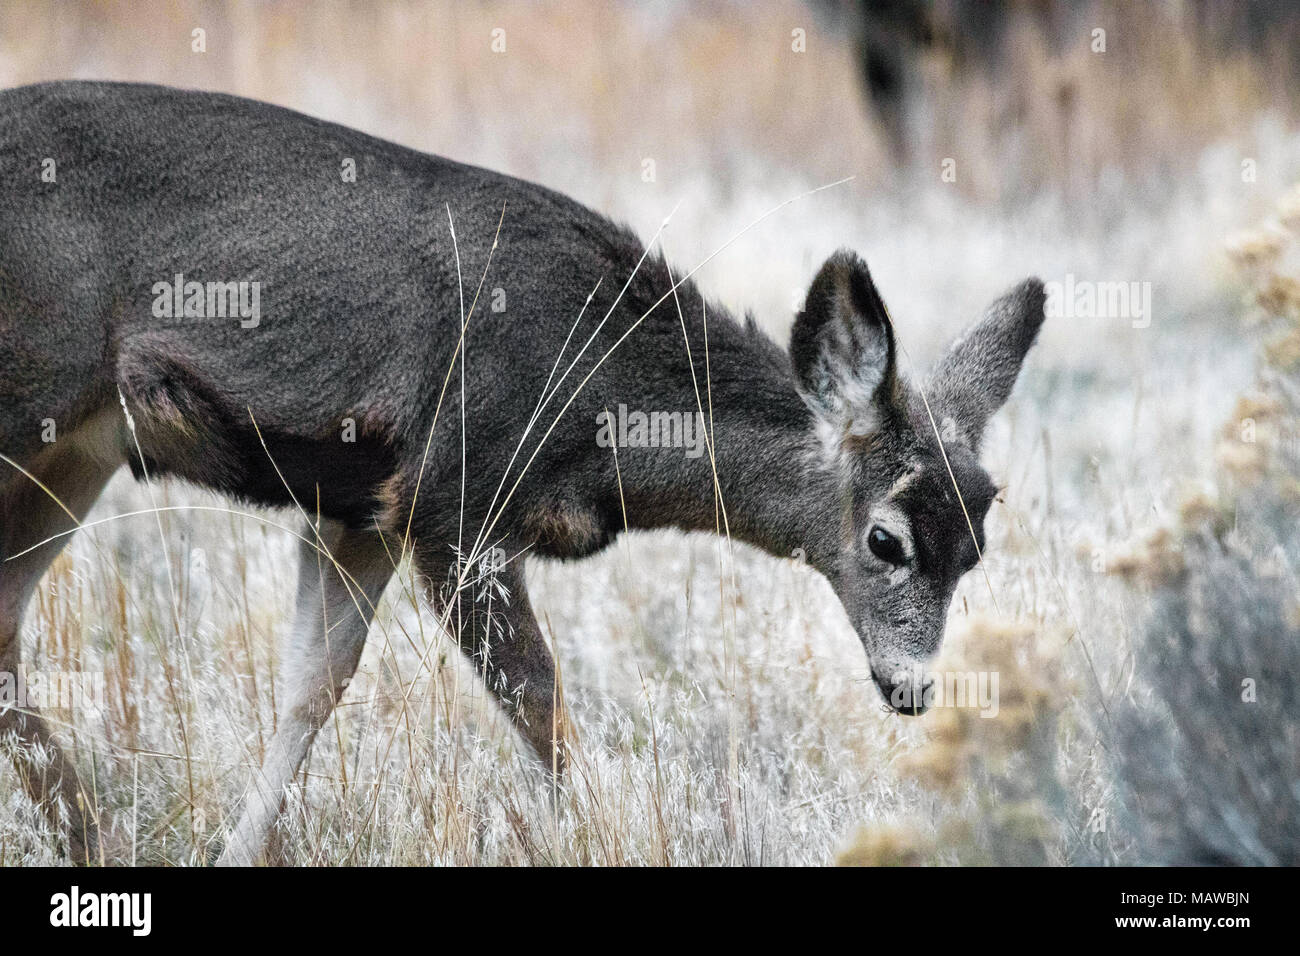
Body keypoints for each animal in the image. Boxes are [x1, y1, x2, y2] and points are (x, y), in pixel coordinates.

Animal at [0, 81, 1047, 865]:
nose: (913, 689)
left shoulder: (363, 510)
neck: (602, 410)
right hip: (30, 404)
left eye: (978, 548)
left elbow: (311, 688)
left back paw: (87, 839)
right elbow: (541, 707)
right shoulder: (454, 501)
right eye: (886, 539)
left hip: (78, 447)